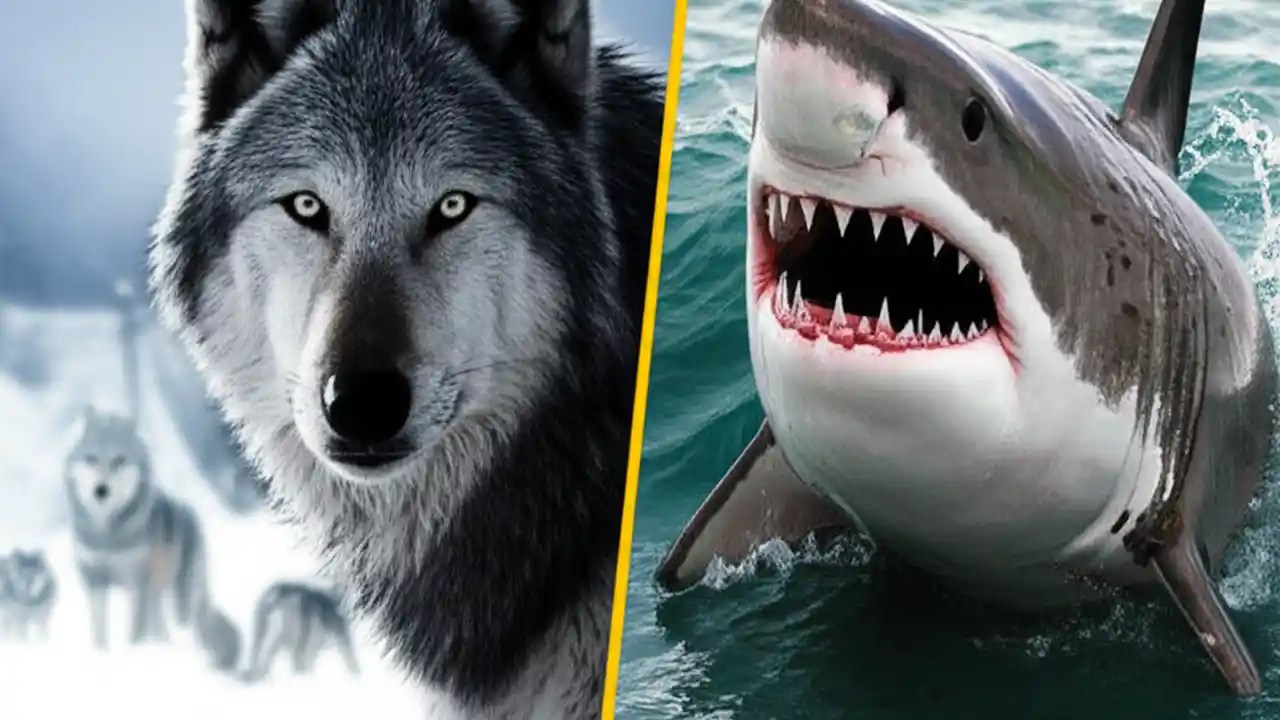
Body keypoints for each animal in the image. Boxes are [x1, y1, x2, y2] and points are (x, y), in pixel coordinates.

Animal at [65, 407, 209, 648]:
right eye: (91, 458)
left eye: (119, 460)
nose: (101, 490)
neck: (106, 535)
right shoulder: (95, 580)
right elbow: (100, 635)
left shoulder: (138, 584)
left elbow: (133, 634)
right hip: (157, 602)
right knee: (163, 631)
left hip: (178, 599)